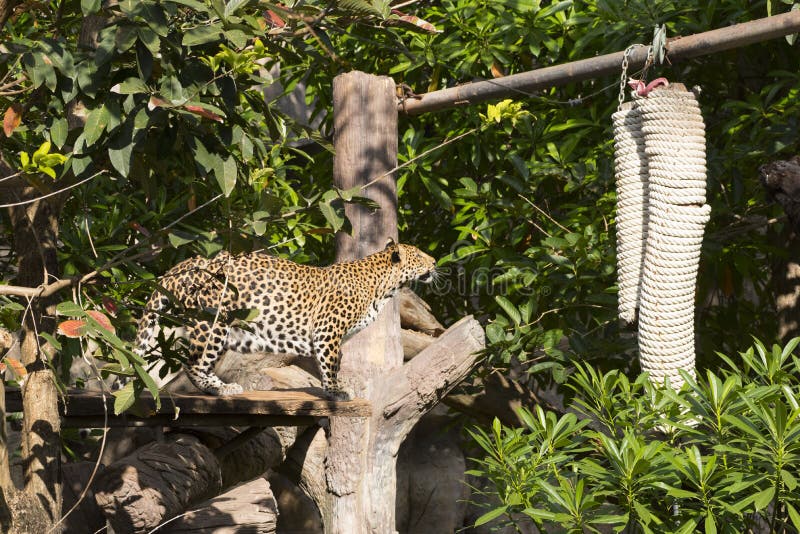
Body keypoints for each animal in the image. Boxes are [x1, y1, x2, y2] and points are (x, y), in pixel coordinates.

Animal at [133, 239, 437, 400]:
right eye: (420, 256)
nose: (434, 262)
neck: (383, 285)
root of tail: (189, 263)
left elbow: (329, 362)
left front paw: (331, 389)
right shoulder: (328, 329)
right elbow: (330, 365)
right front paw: (335, 391)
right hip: (212, 322)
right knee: (193, 364)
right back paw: (221, 389)